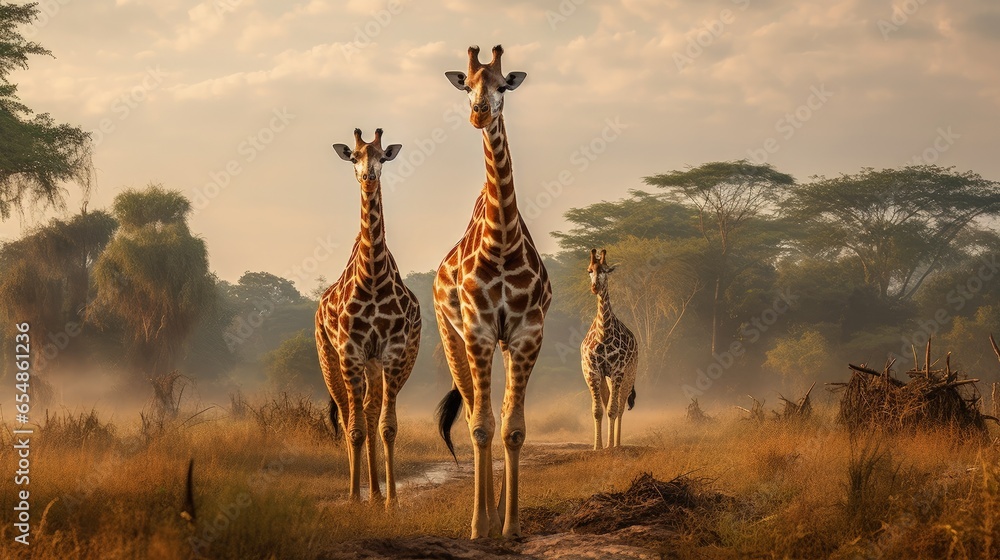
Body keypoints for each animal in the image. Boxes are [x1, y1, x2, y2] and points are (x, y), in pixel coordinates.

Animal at [314, 128, 421, 508]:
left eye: (381, 157)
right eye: (355, 157)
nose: (367, 176)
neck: (373, 275)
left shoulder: (392, 352)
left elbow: (386, 426)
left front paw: (390, 501)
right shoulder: (350, 351)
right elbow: (356, 428)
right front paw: (353, 498)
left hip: (381, 364)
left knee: (371, 413)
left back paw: (375, 492)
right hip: (328, 357)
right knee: (349, 416)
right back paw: (359, 492)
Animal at [581, 249, 638, 450]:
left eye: (605, 270)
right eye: (590, 270)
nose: (595, 288)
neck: (603, 334)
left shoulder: (617, 371)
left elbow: (613, 410)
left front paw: (611, 447)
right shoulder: (593, 371)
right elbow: (598, 410)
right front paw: (597, 447)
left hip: (629, 374)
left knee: (620, 407)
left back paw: (617, 444)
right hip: (604, 378)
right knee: (608, 404)